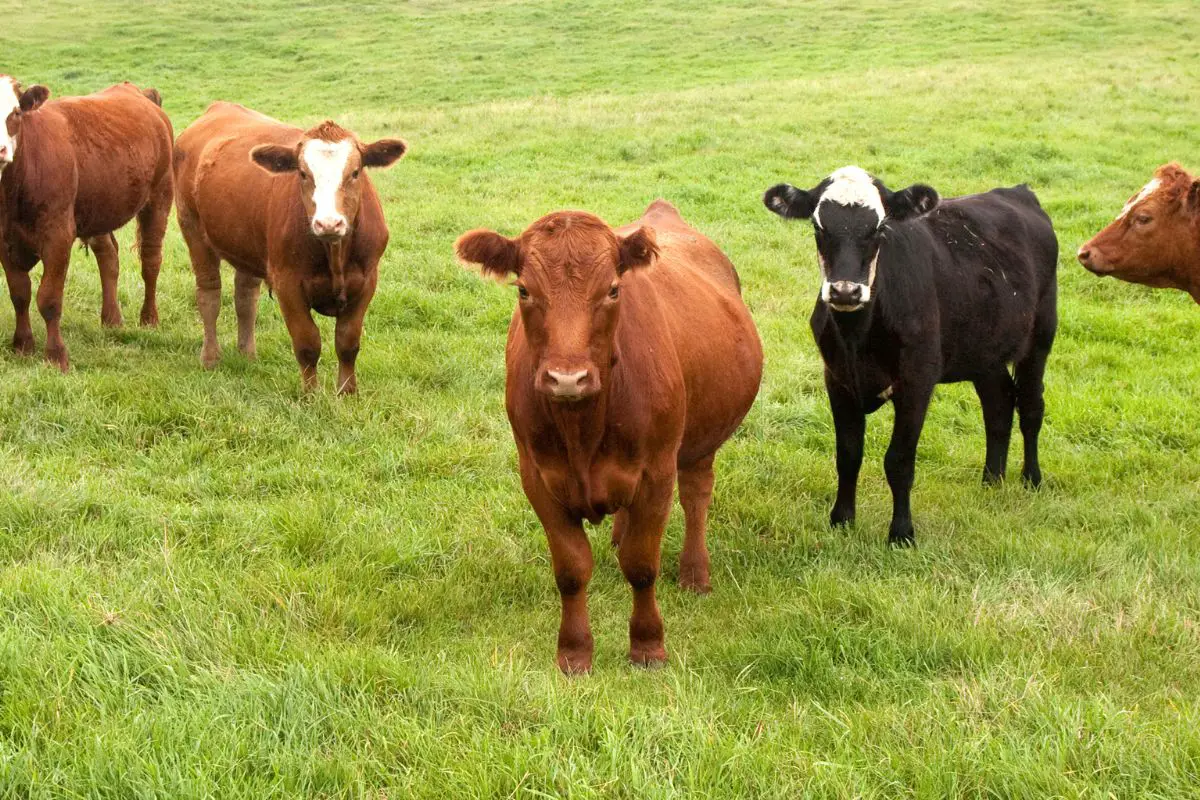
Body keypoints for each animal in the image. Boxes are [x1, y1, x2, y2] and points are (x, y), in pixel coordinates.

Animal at [0, 77, 174, 371]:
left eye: (15, 112)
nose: (0, 150)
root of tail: (135, 90)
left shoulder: (58, 236)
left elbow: (49, 299)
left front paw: (56, 356)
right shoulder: (4, 240)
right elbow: (20, 293)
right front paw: (22, 346)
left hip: (160, 197)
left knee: (150, 262)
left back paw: (149, 318)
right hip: (98, 207)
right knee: (109, 257)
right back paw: (111, 319)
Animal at [173, 102, 407, 393]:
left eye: (355, 172)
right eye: (303, 174)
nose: (328, 223)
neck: (335, 254)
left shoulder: (366, 281)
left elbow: (348, 343)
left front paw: (347, 393)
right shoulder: (288, 285)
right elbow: (307, 343)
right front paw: (311, 395)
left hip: (247, 244)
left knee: (245, 297)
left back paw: (247, 354)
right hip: (193, 228)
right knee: (209, 294)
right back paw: (211, 357)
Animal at [457, 200, 763, 673]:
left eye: (614, 290)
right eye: (523, 290)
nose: (567, 378)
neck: (582, 430)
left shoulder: (657, 474)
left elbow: (641, 564)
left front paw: (648, 646)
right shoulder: (537, 476)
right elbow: (570, 569)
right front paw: (574, 653)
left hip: (700, 442)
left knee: (697, 497)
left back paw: (695, 574)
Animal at [763, 166, 1058, 546]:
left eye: (879, 229)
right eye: (818, 227)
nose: (845, 291)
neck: (858, 337)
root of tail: (1017, 192)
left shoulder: (918, 380)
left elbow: (899, 461)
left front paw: (901, 533)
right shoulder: (837, 379)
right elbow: (848, 454)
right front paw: (841, 520)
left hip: (1040, 337)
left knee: (1031, 407)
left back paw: (1031, 478)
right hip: (984, 352)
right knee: (999, 406)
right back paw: (992, 480)